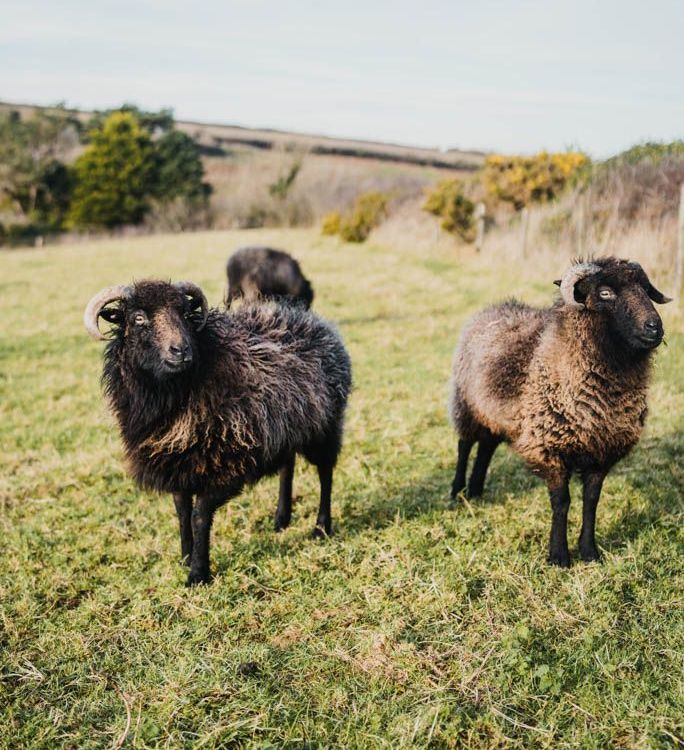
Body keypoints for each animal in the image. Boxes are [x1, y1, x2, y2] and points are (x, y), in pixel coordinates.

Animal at [84, 279, 351, 586]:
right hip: (285, 428)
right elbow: (181, 511)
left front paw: (198, 573)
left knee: (325, 472)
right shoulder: (177, 461)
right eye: (138, 318)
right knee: (288, 466)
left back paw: (321, 527)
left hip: (325, 426)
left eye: (185, 313)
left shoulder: (225, 463)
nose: (181, 350)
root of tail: (316, 320)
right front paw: (186, 557)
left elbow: (199, 515)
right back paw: (281, 520)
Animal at [448, 257, 670, 567]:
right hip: (466, 404)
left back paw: (476, 491)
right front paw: (558, 556)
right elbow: (562, 502)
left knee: (487, 447)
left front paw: (589, 552)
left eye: (647, 290)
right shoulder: (547, 448)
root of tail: (494, 306)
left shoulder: (602, 451)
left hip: (493, 413)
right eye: (605, 293)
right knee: (465, 445)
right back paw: (457, 492)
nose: (654, 327)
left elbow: (591, 501)